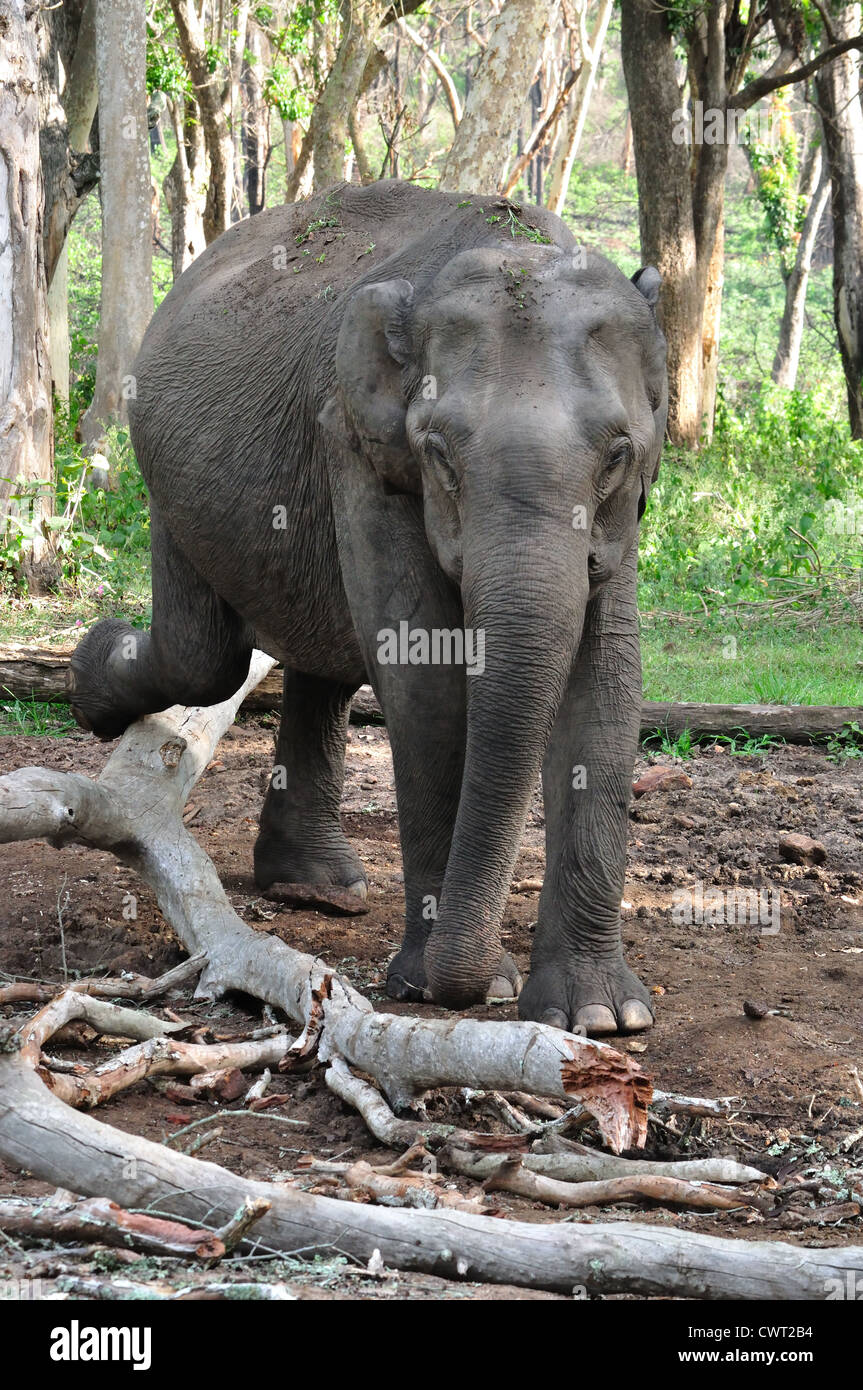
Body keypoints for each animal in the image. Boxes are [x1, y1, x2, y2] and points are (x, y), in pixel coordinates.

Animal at [68, 179, 667, 1036]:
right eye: (440, 455)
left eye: (617, 454)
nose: (476, 987)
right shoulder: (356, 444)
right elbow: (424, 680)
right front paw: (435, 984)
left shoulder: (624, 513)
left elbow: (607, 683)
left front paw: (601, 1016)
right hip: (167, 484)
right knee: (204, 658)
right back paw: (94, 677)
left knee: (314, 660)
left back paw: (318, 888)